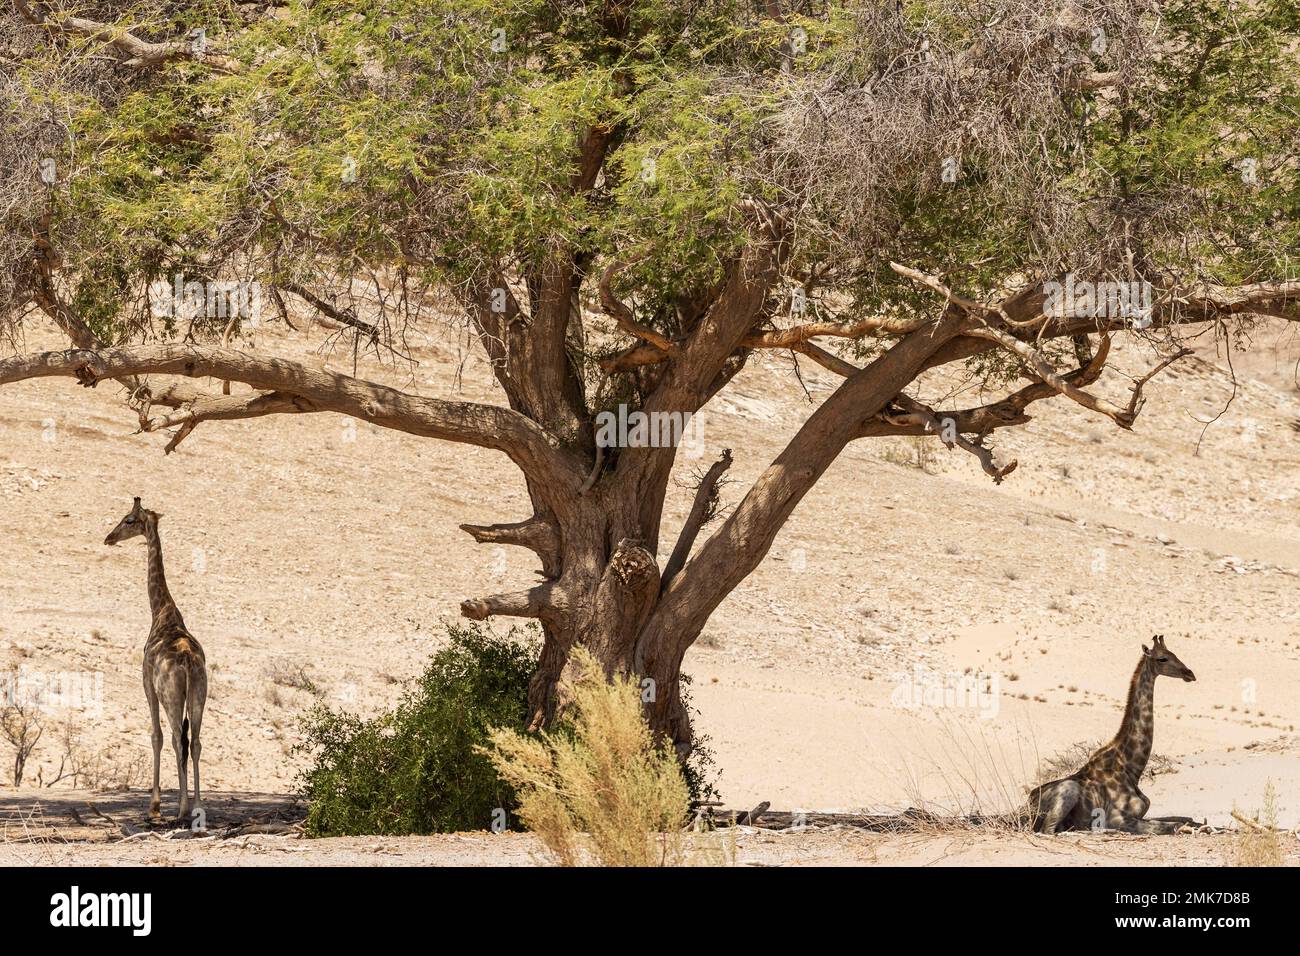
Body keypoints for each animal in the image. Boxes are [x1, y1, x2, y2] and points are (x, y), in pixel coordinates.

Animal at [104, 498, 208, 823]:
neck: (161, 611)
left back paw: (183, 810)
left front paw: (154, 806)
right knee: (195, 741)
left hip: (171, 695)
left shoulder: (146, 684)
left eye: (128, 519)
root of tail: (186, 660)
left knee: (177, 738)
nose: (108, 538)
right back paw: (197, 807)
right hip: (200, 693)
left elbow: (156, 736)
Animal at [1027, 635, 1199, 835]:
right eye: (1162, 658)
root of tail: (1026, 805)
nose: (1189, 673)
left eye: (1174, 653)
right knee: (1049, 830)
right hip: (1068, 791)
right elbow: (1175, 825)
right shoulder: (1115, 818)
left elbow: (1185, 819)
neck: (1131, 768)